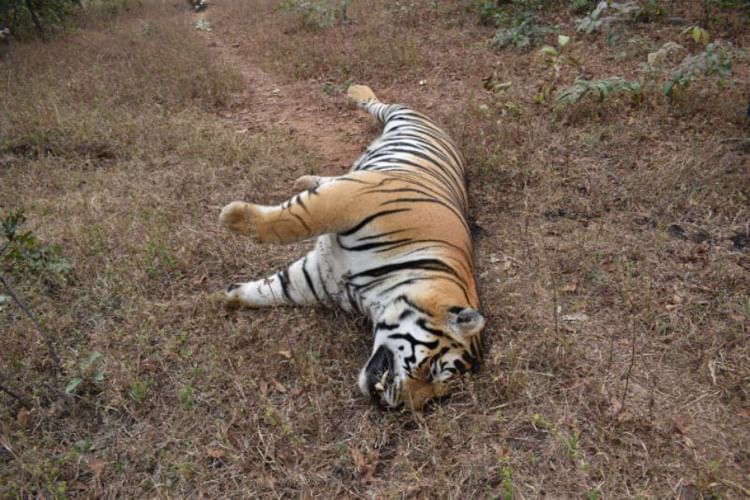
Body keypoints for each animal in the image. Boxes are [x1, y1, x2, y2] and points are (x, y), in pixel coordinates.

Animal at [219, 84, 484, 410]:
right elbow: (296, 219)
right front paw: (233, 217)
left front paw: (232, 295)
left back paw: (305, 180)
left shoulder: (317, 279)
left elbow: (272, 288)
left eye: (436, 397)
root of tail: (448, 136)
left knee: (329, 178)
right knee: (378, 104)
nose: (397, 406)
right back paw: (355, 90)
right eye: (435, 370)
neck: (375, 296)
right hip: (401, 116)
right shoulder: (355, 197)